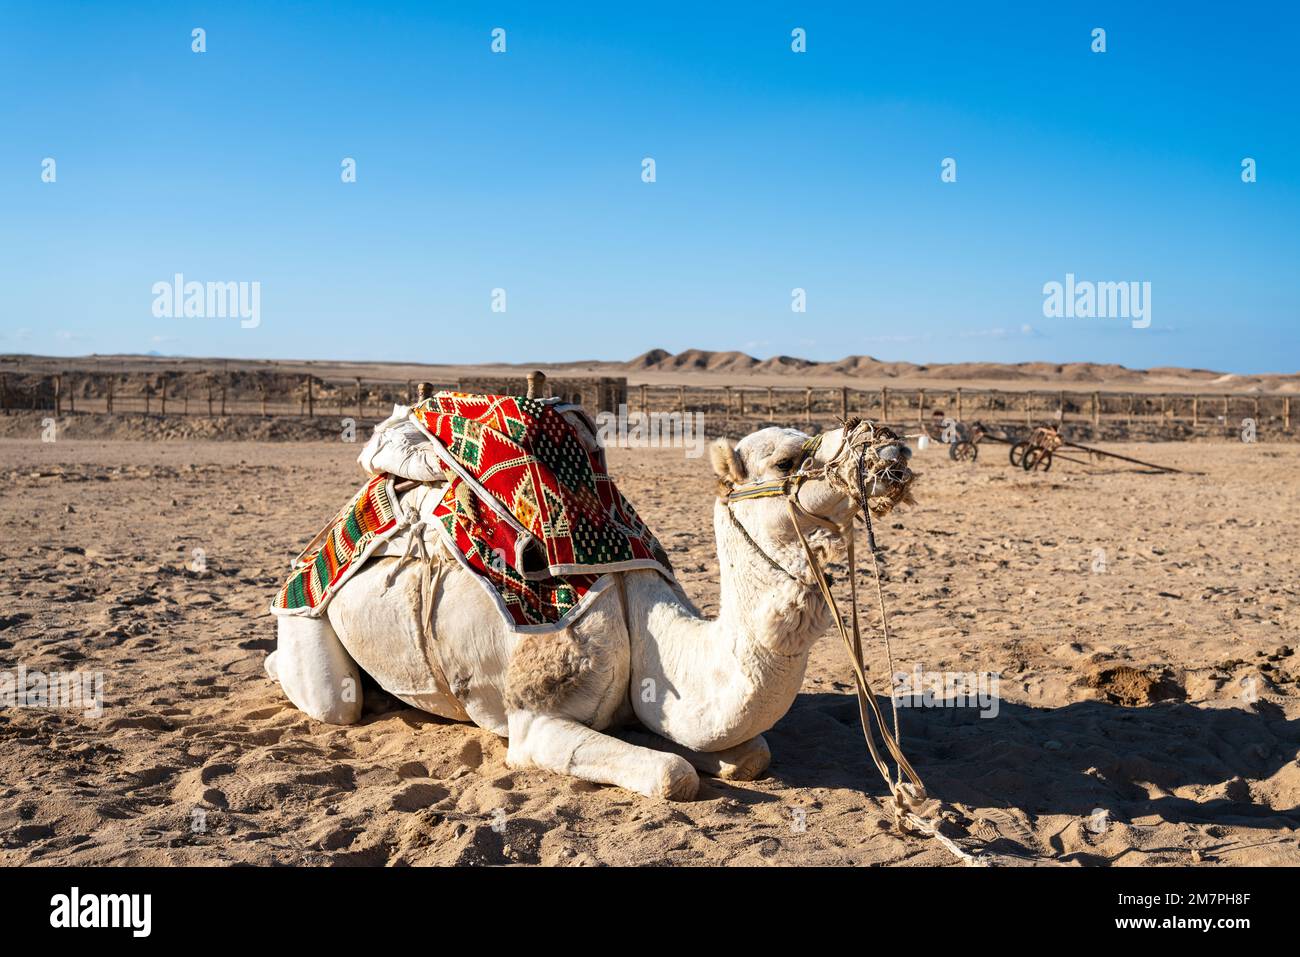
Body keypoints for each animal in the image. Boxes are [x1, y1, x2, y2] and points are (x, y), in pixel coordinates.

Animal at [265, 412, 915, 800]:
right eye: (786, 461)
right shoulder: (533, 721)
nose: (889, 448)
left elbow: (750, 753)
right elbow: (673, 774)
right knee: (331, 698)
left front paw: (722, 760)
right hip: (305, 613)